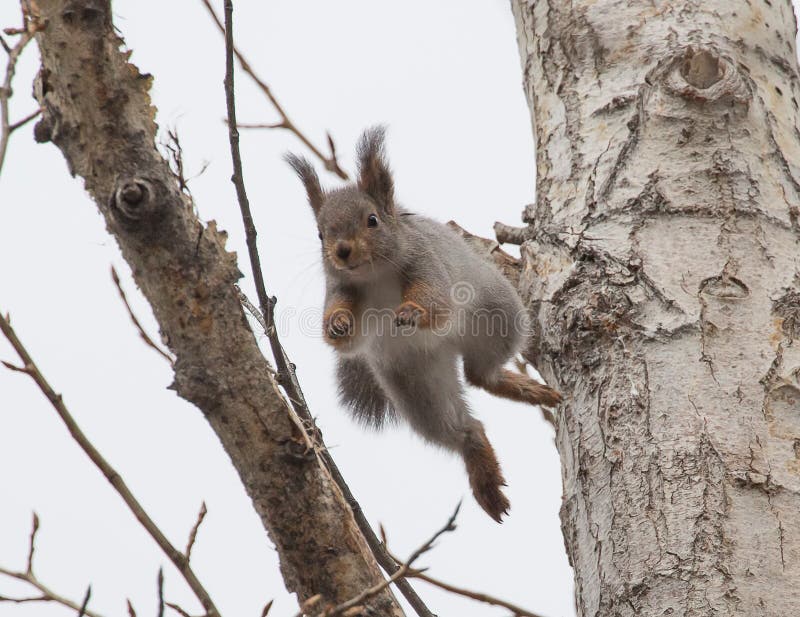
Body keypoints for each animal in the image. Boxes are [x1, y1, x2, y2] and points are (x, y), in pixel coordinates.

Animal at [286, 127, 561, 522]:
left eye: (372, 220)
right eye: (320, 234)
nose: (342, 251)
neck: (375, 275)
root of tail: (450, 349)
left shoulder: (427, 264)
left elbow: (437, 302)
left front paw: (412, 313)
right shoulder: (339, 288)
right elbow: (346, 337)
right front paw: (337, 324)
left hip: (499, 318)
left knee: (482, 375)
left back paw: (523, 388)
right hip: (417, 385)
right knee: (465, 423)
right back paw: (484, 474)